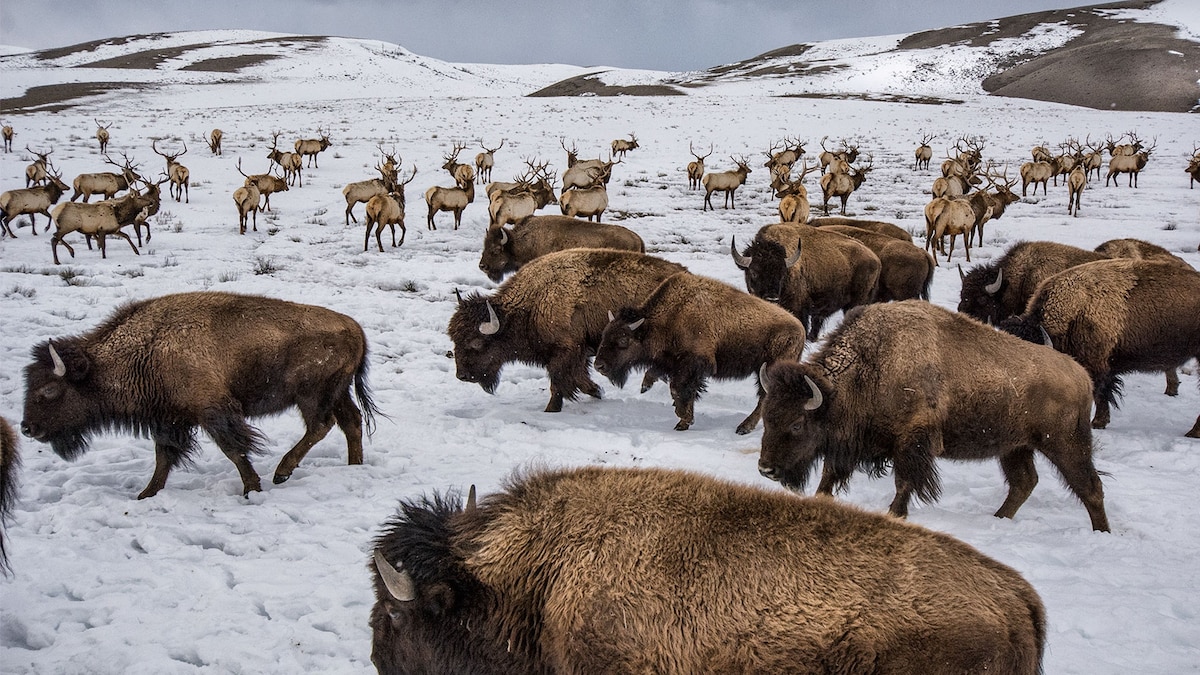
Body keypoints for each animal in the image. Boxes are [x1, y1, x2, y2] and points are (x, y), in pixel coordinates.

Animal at [21, 292, 378, 499]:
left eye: (49, 390)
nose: (27, 428)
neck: (147, 349)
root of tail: (355, 327)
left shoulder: (213, 412)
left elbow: (234, 450)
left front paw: (251, 489)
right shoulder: (169, 420)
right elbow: (163, 457)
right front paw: (146, 494)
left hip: (311, 395)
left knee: (322, 425)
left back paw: (282, 472)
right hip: (336, 392)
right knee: (350, 422)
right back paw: (353, 466)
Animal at [449, 249, 687, 413]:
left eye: (476, 342)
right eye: (454, 339)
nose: (462, 376)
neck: (532, 303)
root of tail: (684, 274)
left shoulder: (565, 351)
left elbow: (558, 381)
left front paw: (551, 409)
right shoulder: (576, 354)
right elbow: (579, 378)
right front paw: (597, 392)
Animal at [594, 272, 806, 434]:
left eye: (623, 340)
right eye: (604, 335)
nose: (598, 365)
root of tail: (800, 328)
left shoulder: (694, 363)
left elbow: (679, 388)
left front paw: (683, 418)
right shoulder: (671, 362)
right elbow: (662, 377)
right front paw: (647, 389)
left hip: (769, 370)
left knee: (764, 397)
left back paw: (743, 427)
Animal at [732, 222, 880, 340]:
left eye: (782, 273)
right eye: (754, 272)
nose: (772, 298)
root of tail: (875, 259)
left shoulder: (797, 308)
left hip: (856, 302)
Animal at [759, 300, 1110, 531]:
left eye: (797, 424)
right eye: (767, 417)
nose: (765, 469)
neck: (872, 364)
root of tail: (1081, 375)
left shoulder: (912, 442)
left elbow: (904, 482)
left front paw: (895, 515)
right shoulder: (851, 444)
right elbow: (829, 475)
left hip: (1065, 444)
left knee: (1090, 487)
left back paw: (1101, 532)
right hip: (1015, 448)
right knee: (1024, 482)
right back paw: (998, 518)